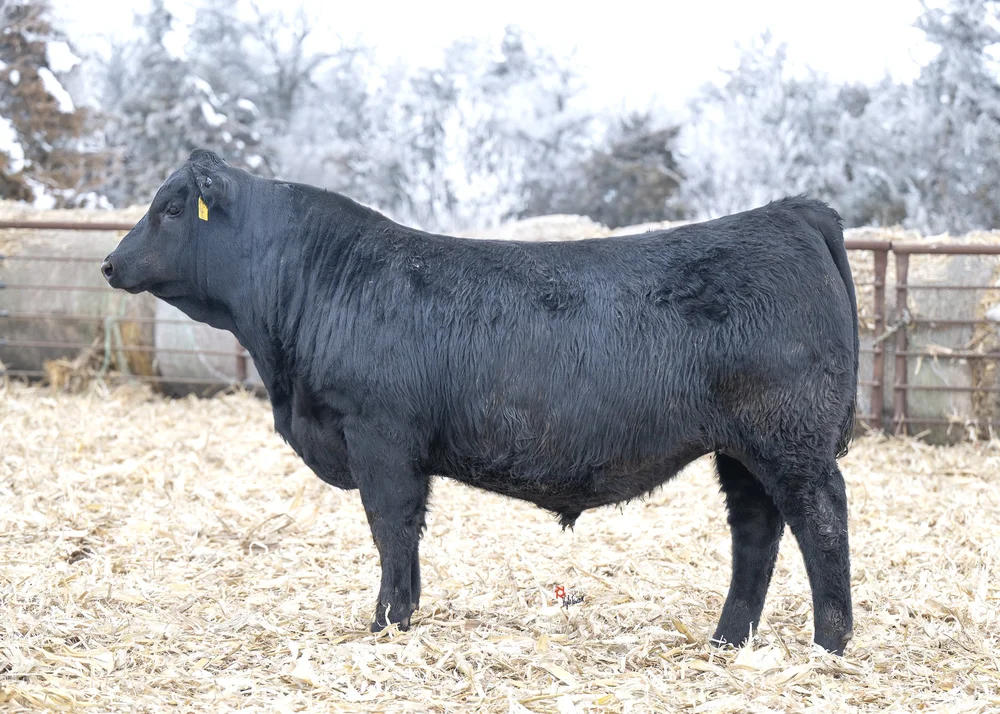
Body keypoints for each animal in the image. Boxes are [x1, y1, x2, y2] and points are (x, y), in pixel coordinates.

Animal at [102, 149, 859, 655]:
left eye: (172, 208)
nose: (109, 264)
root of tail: (790, 213)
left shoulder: (378, 437)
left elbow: (391, 528)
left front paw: (386, 623)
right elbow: (402, 535)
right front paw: (400, 618)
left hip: (790, 439)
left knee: (821, 521)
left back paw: (830, 643)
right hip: (741, 449)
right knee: (756, 531)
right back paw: (727, 640)